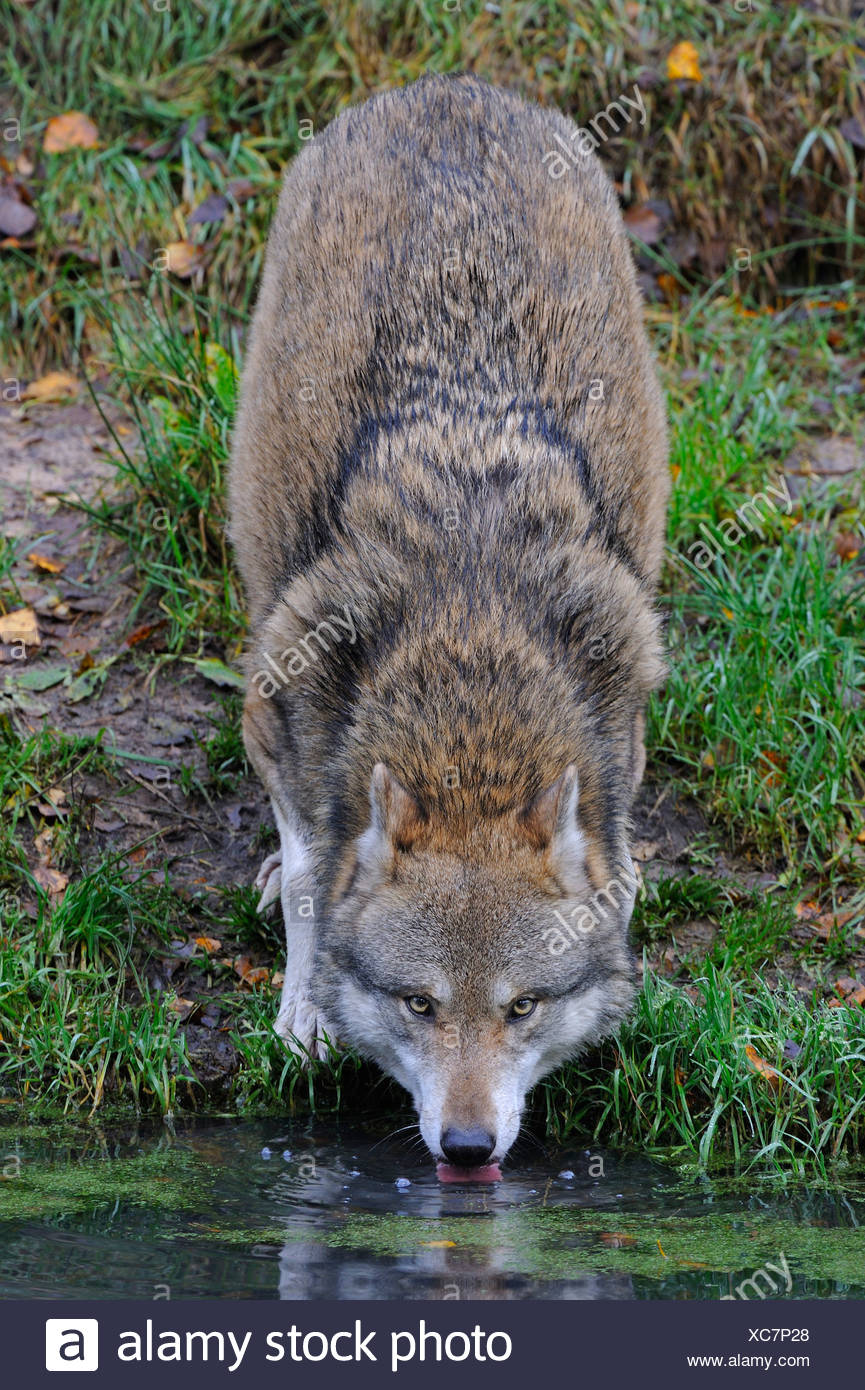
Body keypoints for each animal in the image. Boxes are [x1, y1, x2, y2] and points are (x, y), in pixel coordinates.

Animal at [228, 74, 669, 1171]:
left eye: (521, 1007)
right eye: (418, 1005)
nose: (468, 1147)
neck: (470, 698)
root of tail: (449, 88)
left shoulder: (623, 709)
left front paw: (621, 892)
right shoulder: (277, 711)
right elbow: (317, 878)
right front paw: (308, 1008)